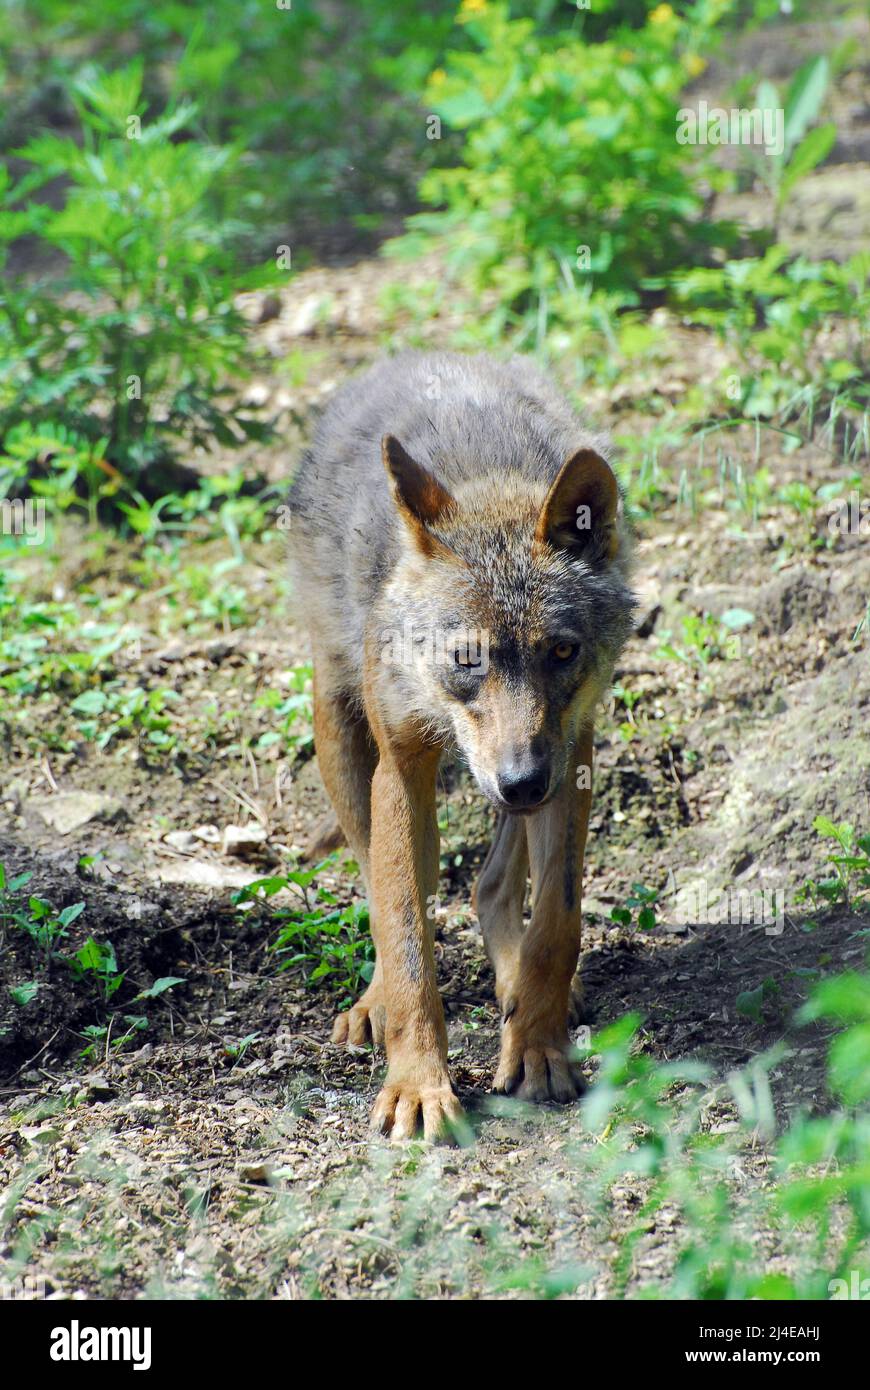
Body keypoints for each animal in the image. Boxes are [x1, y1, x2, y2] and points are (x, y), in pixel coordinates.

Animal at [288, 351, 635, 1140]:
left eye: (562, 652)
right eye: (467, 659)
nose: (521, 781)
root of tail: (419, 355)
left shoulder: (570, 757)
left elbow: (556, 927)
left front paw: (537, 1051)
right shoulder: (404, 768)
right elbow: (406, 934)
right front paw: (418, 1087)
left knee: (488, 886)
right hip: (346, 741)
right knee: (384, 882)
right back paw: (373, 1006)